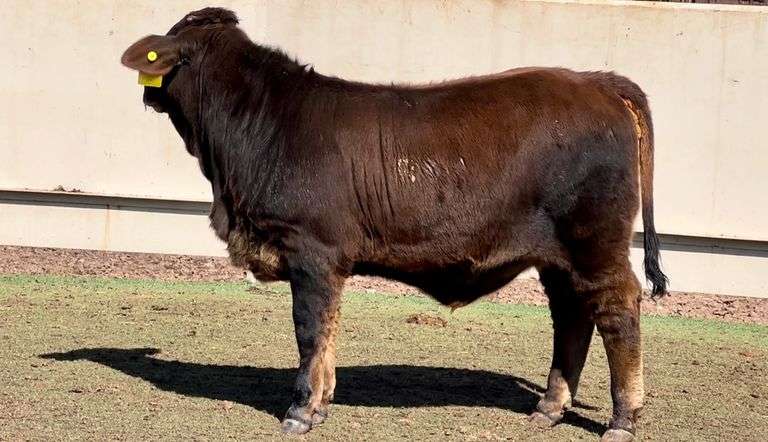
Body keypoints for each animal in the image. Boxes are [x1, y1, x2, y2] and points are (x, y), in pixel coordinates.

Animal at [121, 8, 667, 441]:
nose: (146, 96)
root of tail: (594, 80)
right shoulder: (328, 263)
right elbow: (328, 333)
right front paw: (322, 404)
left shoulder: (311, 251)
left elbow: (310, 332)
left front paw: (300, 411)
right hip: (559, 257)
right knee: (571, 316)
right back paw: (549, 409)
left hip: (596, 244)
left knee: (617, 311)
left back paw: (622, 419)